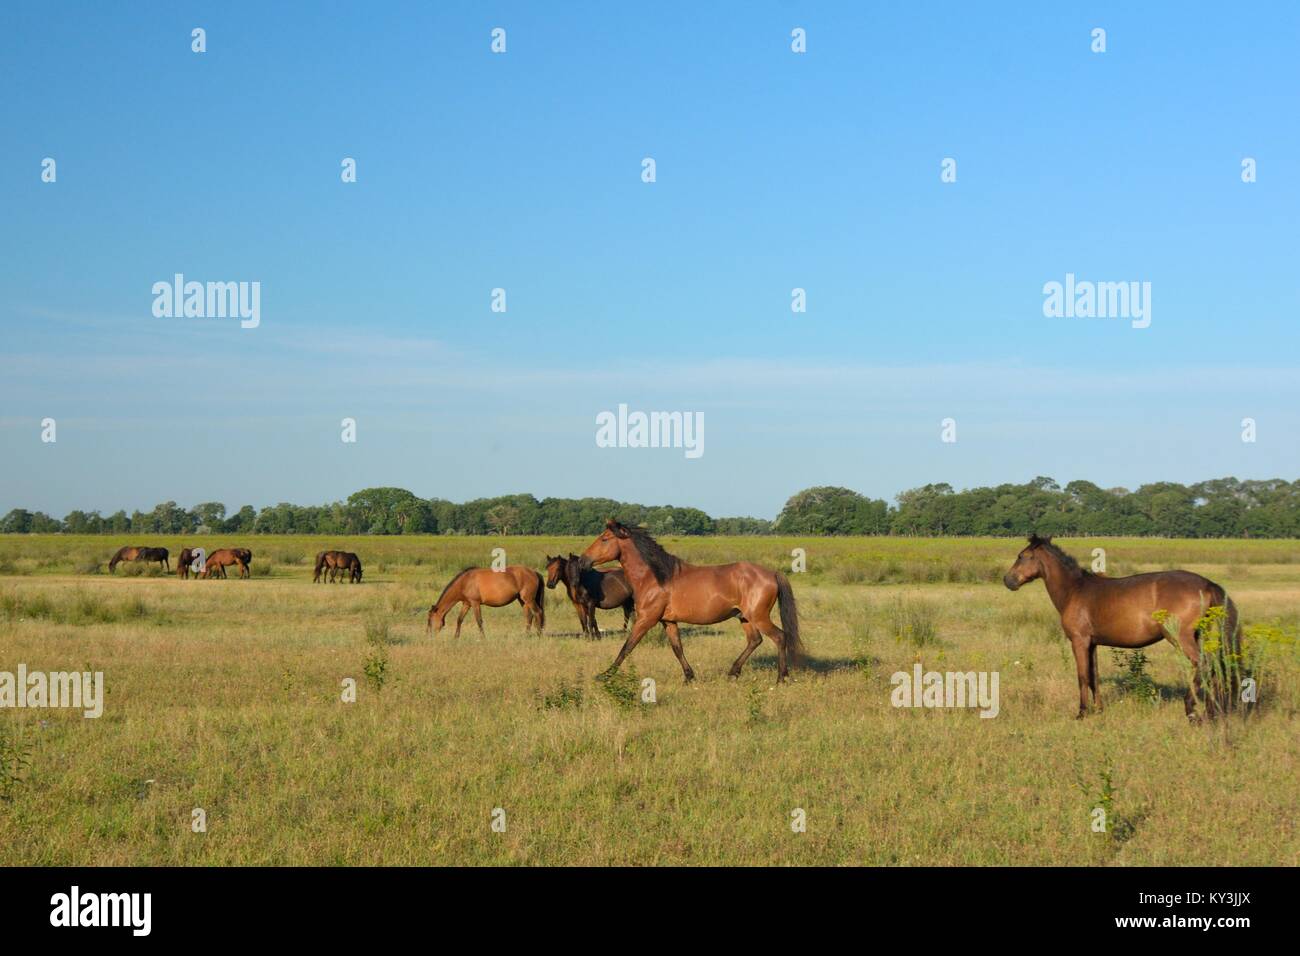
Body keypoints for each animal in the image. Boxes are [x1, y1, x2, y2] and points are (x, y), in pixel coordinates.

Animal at [581, 520, 803, 683]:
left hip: (759, 617)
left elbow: (627, 647)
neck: (655, 578)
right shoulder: (668, 621)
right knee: (755, 640)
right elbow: (677, 648)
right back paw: (733, 672)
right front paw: (689, 677)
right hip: (745, 617)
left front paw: (605, 675)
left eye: (604, 539)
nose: (583, 560)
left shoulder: (646, 620)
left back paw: (781, 678)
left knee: (780, 637)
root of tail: (772, 573)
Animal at [1003, 534, 1240, 720]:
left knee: (1203, 664)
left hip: (1180, 638)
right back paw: (1210, 710)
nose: (1008, 580)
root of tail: (1207, 584)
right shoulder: (1092, 644)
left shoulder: (1079, 641)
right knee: (1213, 666)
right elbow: (1094, 677)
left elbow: (1082, 676)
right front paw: (1098, 710)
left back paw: (1190, 707)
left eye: (1021, 556)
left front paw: (1082, 713)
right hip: (1198, 635)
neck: (1075, 590)